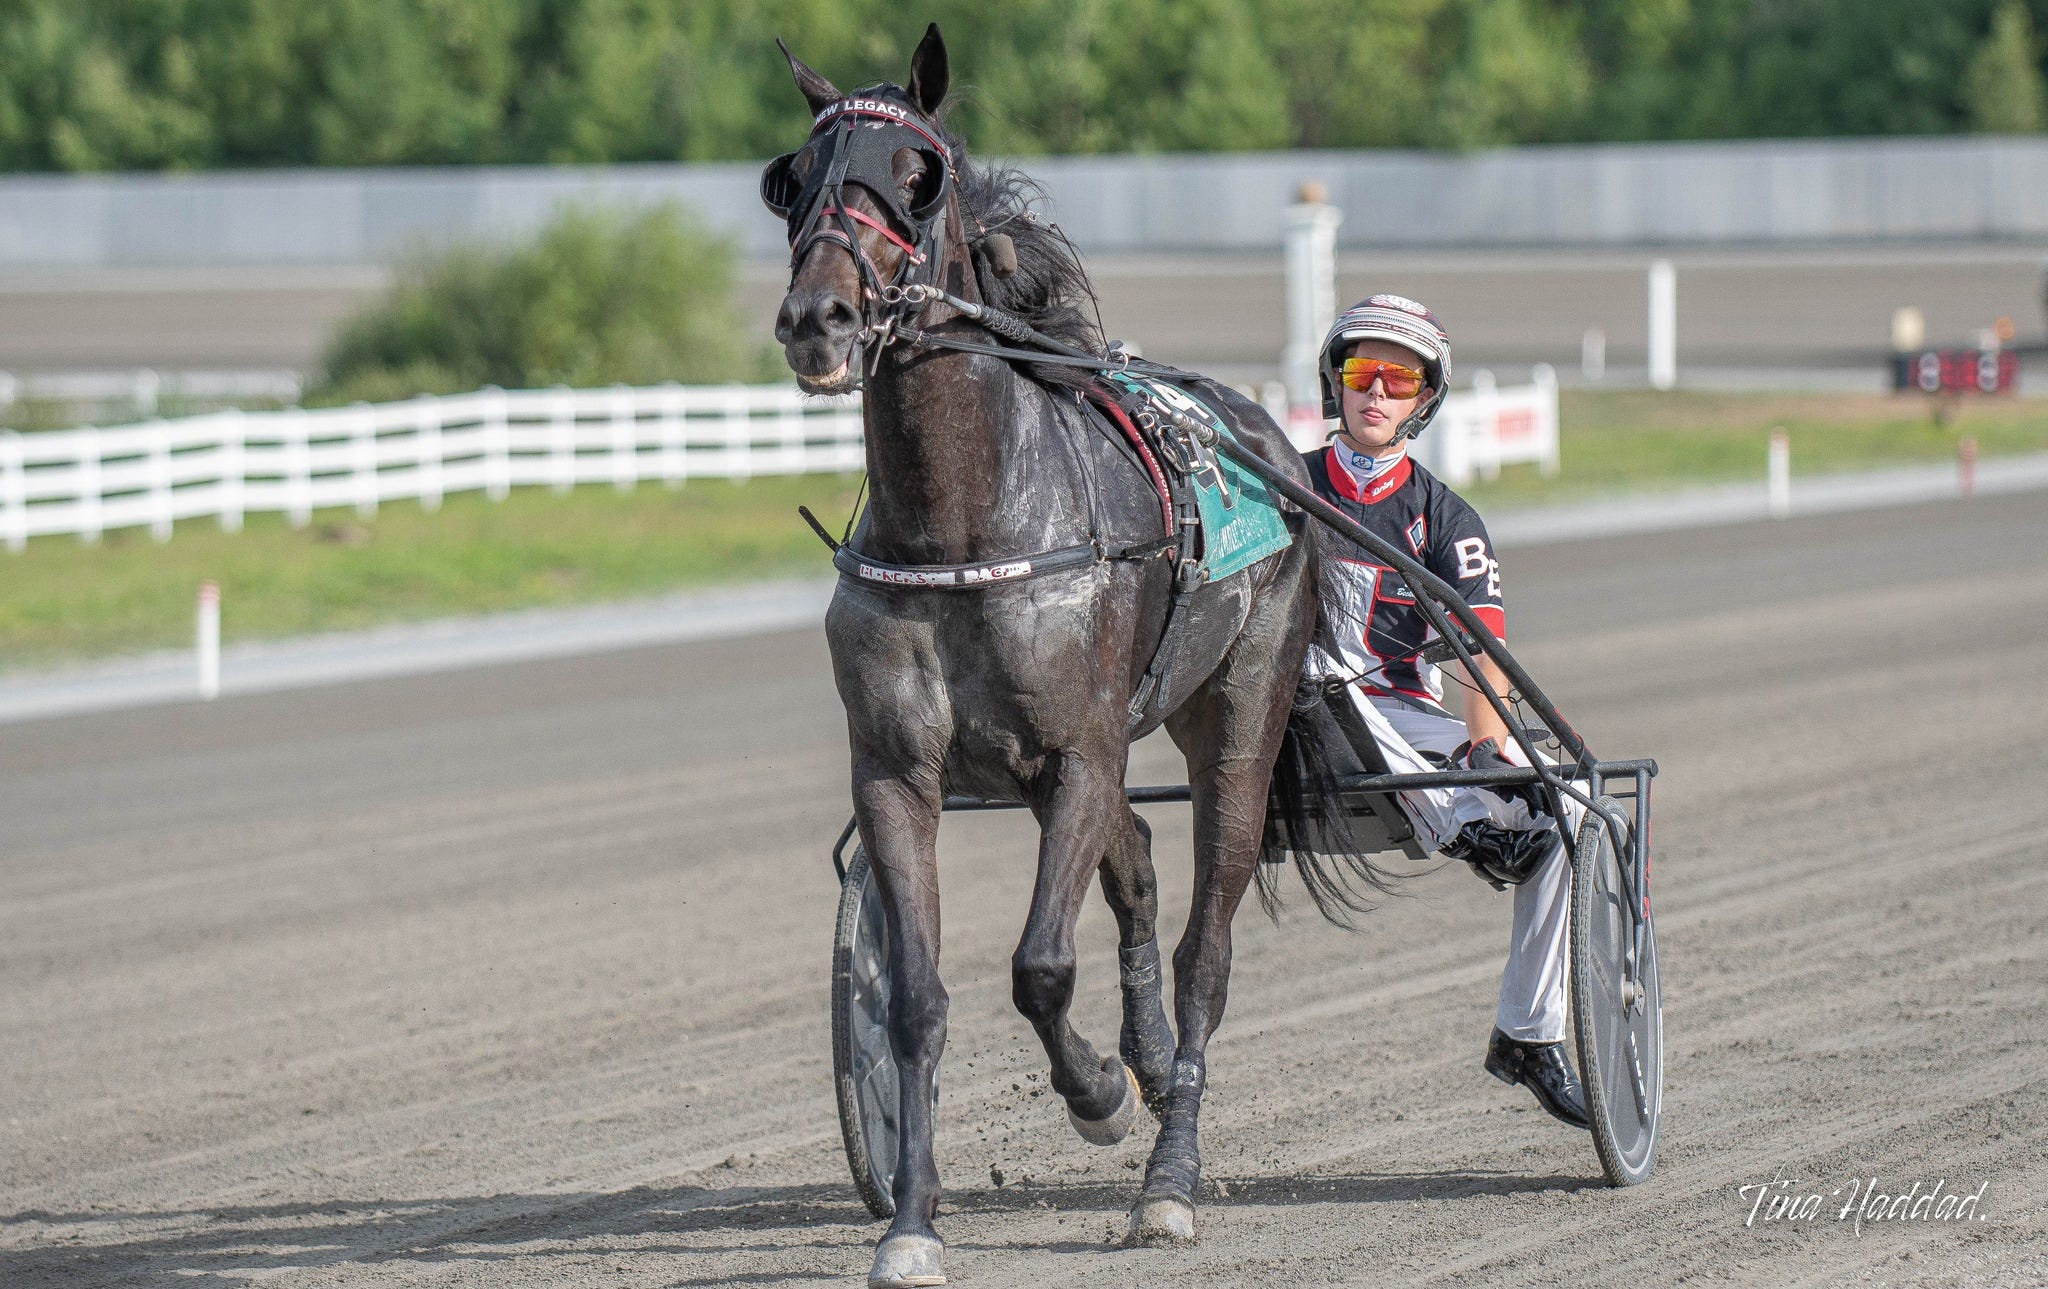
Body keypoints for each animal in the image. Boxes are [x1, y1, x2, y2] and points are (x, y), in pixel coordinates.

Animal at [765, 25, 1375, 1284]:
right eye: (790, 177)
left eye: (916, 173)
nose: (819, 318)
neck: (959, 524)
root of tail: (1258, 429)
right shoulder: (896, 772)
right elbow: (916, 996)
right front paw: (910, 1219)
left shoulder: (1079, 753)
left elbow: (1040, 965)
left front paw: (1096, 1089)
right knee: (1135, 866)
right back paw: (1148, 1064)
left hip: (1233, 723)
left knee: (1203, 948)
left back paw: (1167, 1170)